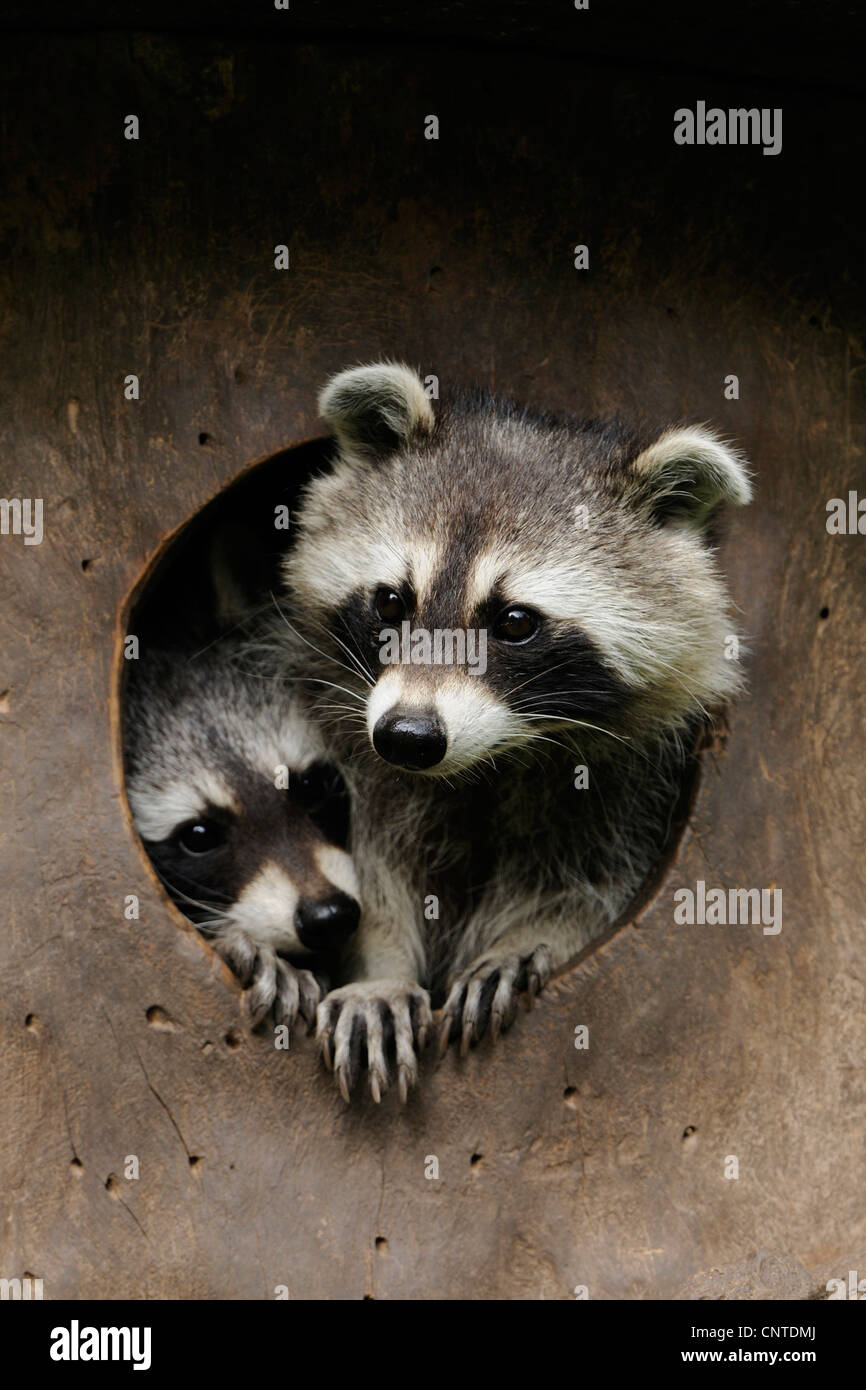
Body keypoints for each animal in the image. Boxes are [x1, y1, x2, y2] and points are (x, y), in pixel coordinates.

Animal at [281, 362, 752, 1100]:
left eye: (515, 622)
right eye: (391, 602)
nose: (408, 735)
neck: (490, 762)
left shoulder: (629, 786)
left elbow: (593, 887)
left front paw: (528, 940)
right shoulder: (360, 746)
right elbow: (376, 866)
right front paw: (377, 974)